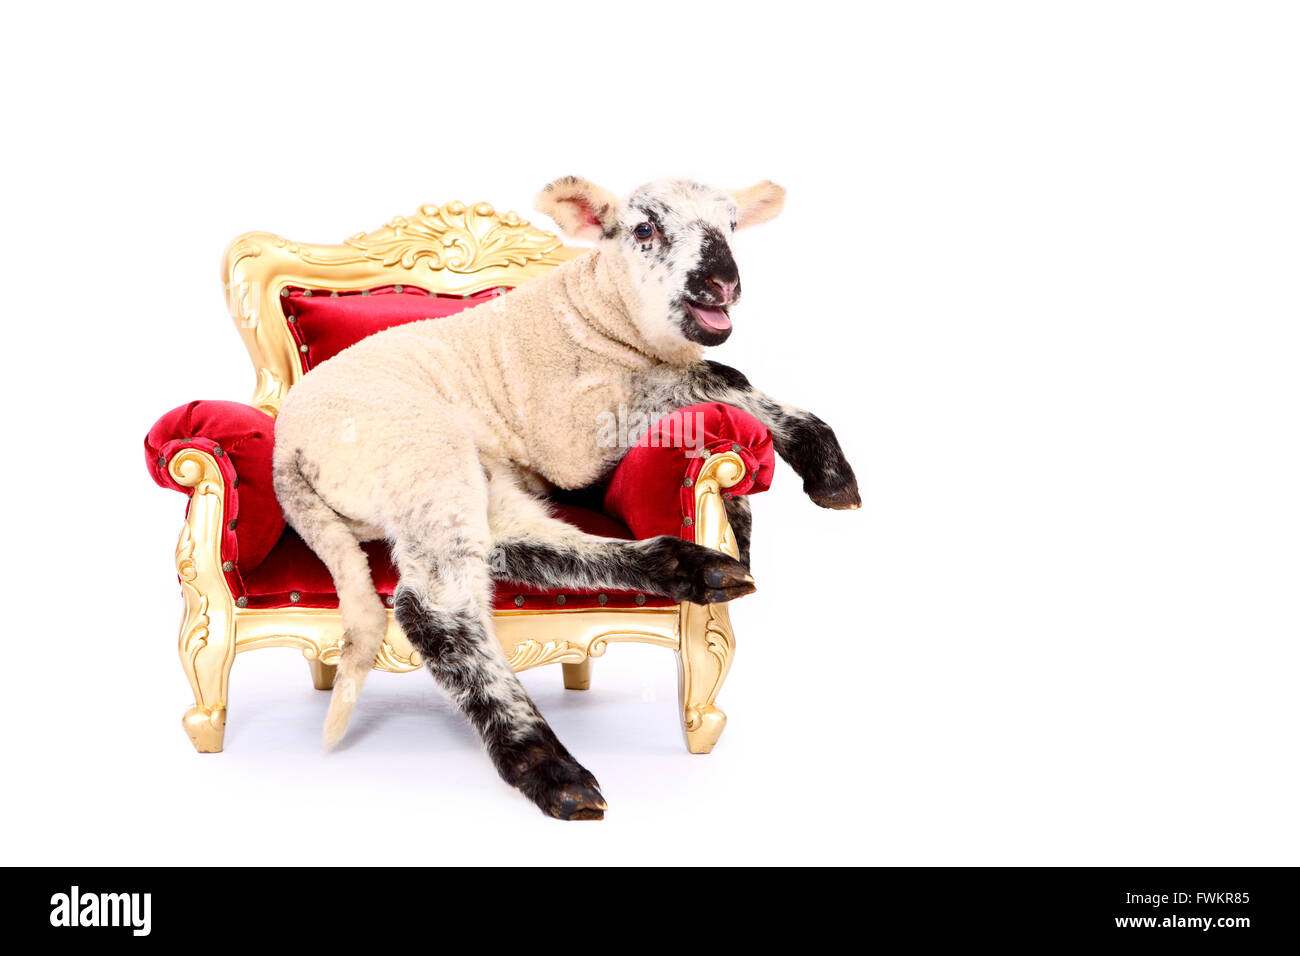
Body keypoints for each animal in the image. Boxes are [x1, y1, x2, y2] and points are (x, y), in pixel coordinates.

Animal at [272, 176, 860, 820]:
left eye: (731, 225)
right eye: (644, 229)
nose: (722, 282)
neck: (596, 317)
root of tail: (285, 450)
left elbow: (719, 378)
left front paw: (772, 503)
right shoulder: (571, 438)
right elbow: (702, 383)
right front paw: (815, 461)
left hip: (471, 477)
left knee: (513, 545)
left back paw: (696, 568)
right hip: (423, 451)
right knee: (434, 605)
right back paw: (546, 765)